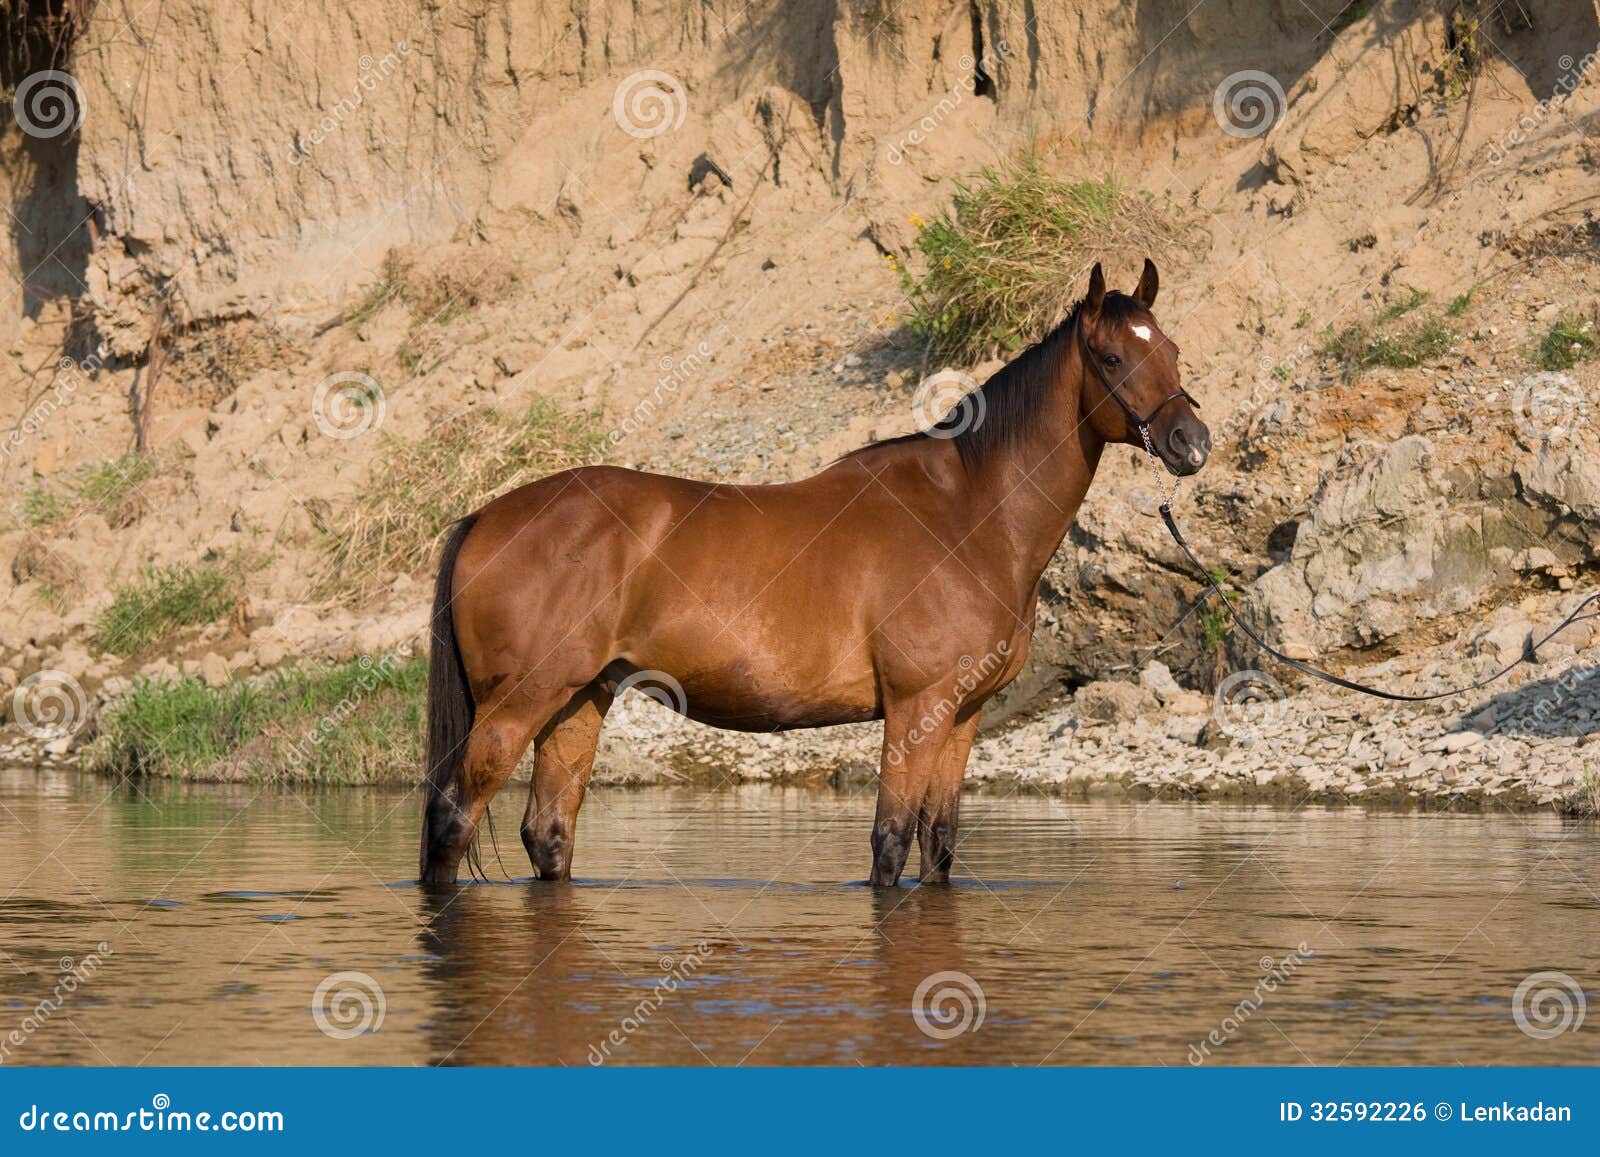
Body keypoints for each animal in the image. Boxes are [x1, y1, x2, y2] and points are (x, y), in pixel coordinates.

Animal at [419, 259, 1210, 887]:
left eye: (1172, 349)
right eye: (1110, 357)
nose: (1191, 443)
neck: (970, 514)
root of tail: (485, 517)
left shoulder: (963, 717)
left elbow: (939, 845)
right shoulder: (918, 709)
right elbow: (890, 844)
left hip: (577, 701)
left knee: (548, 833)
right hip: (517, 706)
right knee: (454, 821)